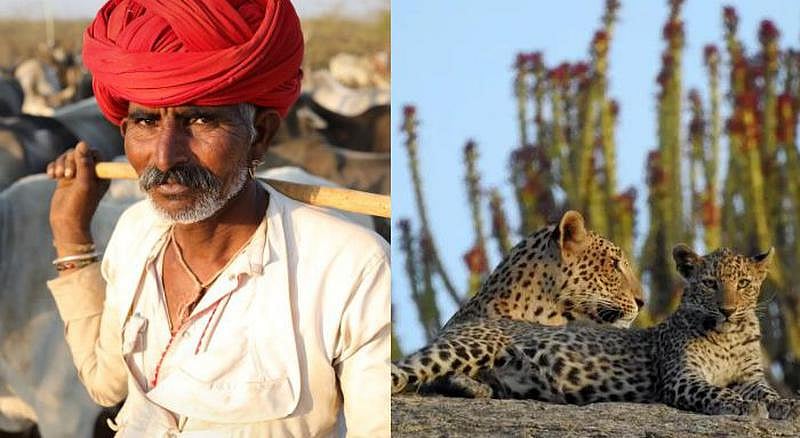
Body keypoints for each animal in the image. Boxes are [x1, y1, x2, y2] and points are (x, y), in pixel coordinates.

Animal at [393, 244, 800, 420]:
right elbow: (715, 392)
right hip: (463, 348)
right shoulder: (682, 378)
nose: (727, 309)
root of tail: (468, 318)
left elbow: (767, 392)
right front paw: (743, 407)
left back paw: (474, 387)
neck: (728, 335)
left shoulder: (750, 376)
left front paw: (785, 405)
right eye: (710, 284)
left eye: (744, 283)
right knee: (403, 372)